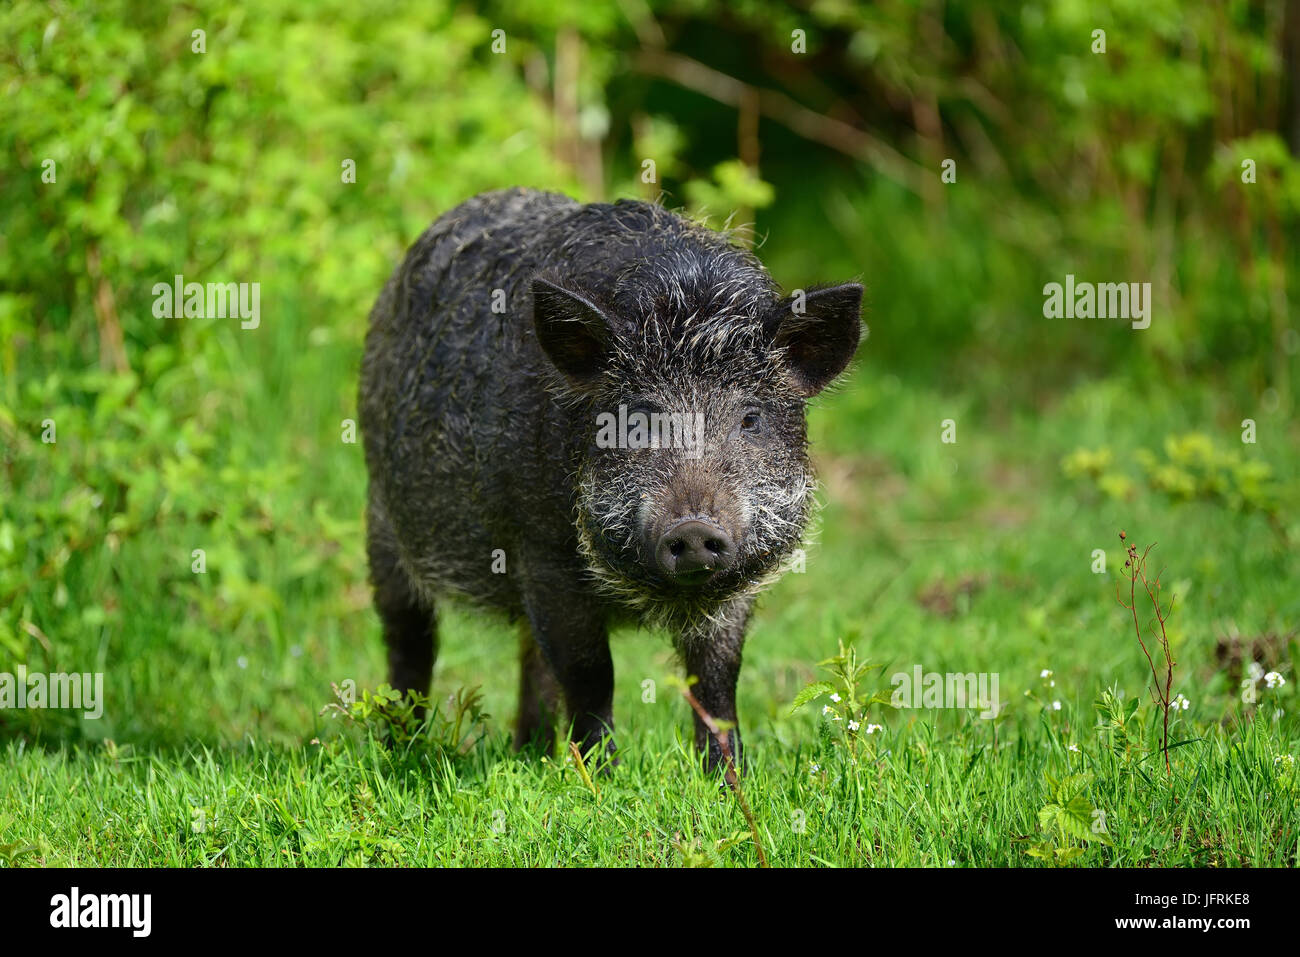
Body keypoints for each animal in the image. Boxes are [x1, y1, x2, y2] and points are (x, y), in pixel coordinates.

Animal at [359, 187, 862, 771]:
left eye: (751, 418)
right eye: (635, 420)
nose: (693, 528)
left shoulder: (740, 576)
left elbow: (717, 678)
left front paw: (727, 776)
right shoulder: (541, 549)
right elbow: (591, 672)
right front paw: (604, 774)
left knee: (529, 656)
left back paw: (529, 753)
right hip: (381, 520)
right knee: (409, 642)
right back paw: (402, 749)